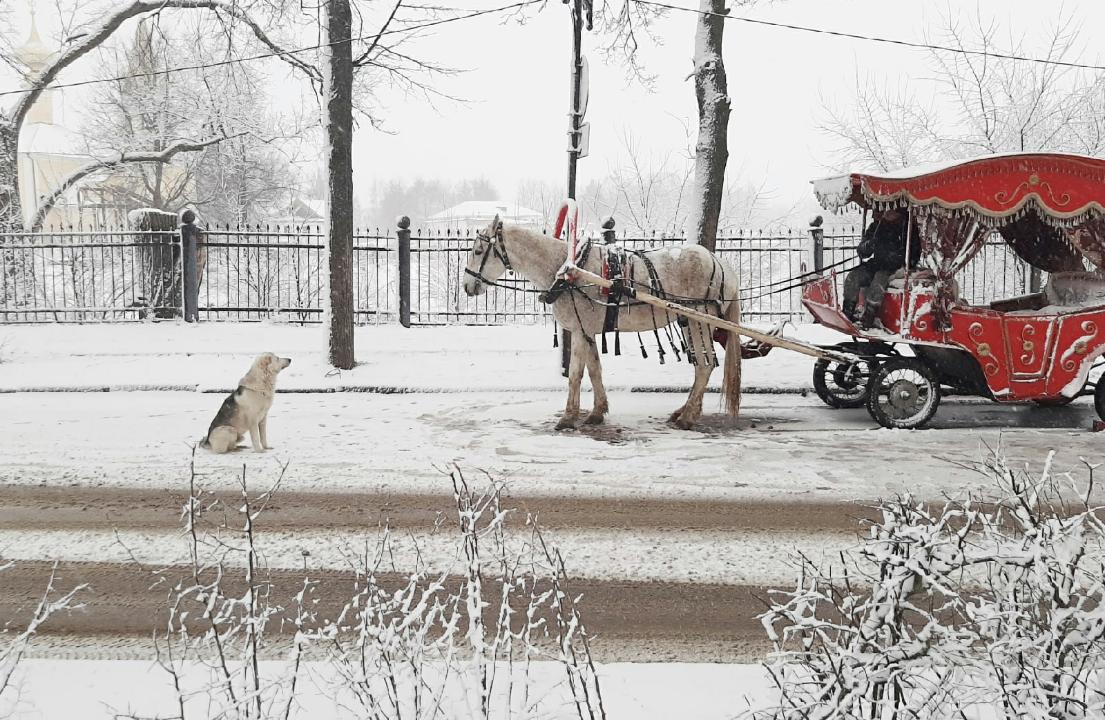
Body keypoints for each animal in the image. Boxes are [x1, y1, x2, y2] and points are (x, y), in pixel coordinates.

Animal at [461, 214, 738, 428]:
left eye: (478, 251)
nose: (466, 286)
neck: (568, 270)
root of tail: (719, 262)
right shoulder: (587, 331)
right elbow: (594, 370)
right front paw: (597, 412)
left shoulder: (578, 329)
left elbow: (575, 374)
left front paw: (568, 417)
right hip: (690, 322)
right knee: (701, 365)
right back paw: (684, 410)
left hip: (699, 321)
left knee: (704, 366)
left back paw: (688, 417)